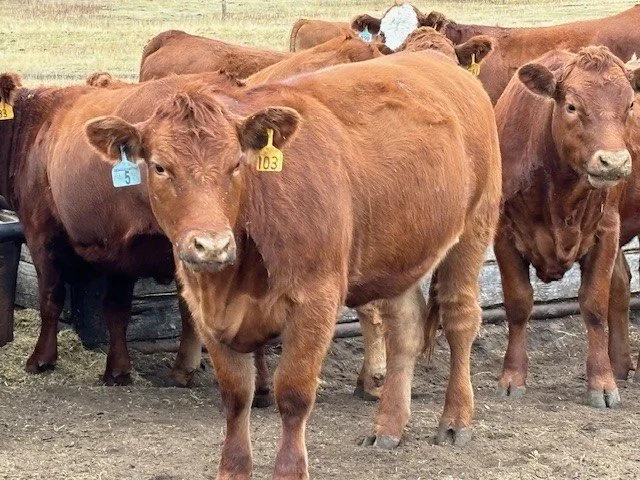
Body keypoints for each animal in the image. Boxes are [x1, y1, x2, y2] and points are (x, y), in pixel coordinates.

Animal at [0, 71, 275, 407]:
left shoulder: (43, 232)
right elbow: (124, 308)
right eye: (160, 166)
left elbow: (55, 298)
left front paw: (43, 359)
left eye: (235, 163)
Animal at [85, 49, 501, 478]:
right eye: (160, 166)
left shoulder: (315, 301)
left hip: (475, 225)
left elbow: (294, 393)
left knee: (459, 317)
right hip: (399, 255)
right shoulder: (206, 310)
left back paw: (455, 421)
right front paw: (233, 468)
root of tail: (438, 59)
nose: (211, 246)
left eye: (236, 164)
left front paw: (289, 469)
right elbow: (236, 395)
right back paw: (388, 427)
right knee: (404, 330)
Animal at [493, 46, 640, 408]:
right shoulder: (503, 234)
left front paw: (601, 382)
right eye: (572, 106)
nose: (614, 162)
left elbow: (594, 306)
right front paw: (512, 376)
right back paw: (621, 365)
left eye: (630, 105)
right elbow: (518, 304)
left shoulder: (606, 231)